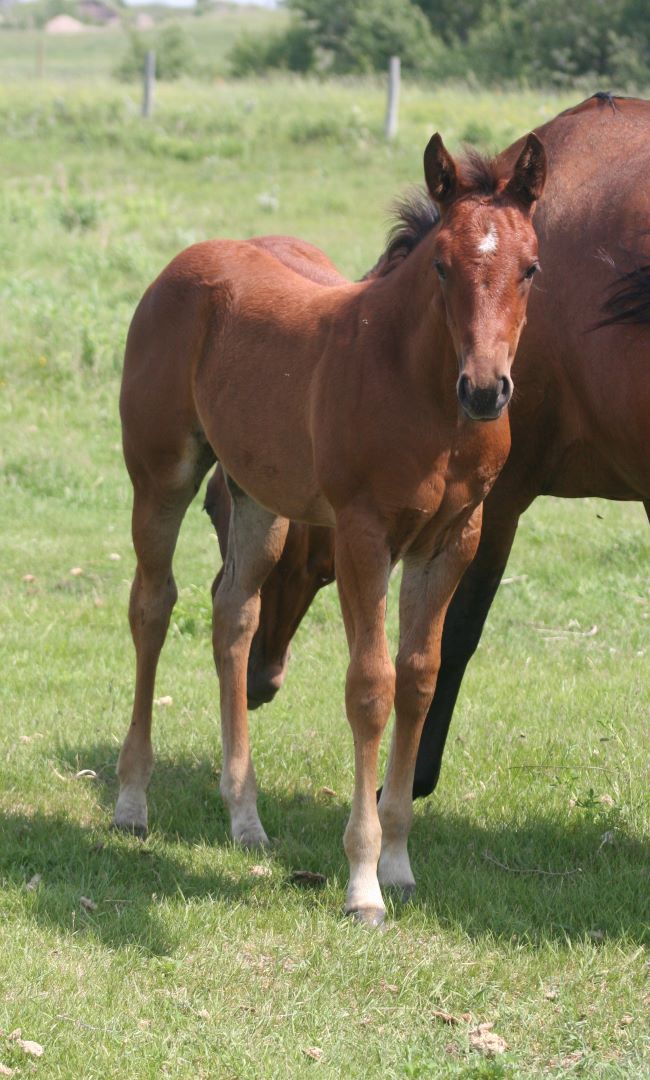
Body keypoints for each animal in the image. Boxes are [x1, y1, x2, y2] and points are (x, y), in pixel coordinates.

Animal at [115, 131, 547, 924]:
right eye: (441, 265)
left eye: (530, 268)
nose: (485, 390)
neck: (421, 391)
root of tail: (183, 263)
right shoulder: (363, 533)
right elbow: (371, 685)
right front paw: (364, 882)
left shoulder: (452, 539)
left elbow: (419, 679)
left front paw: (401, 863)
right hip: (162, 474)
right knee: (153, 605)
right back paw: (132, 801)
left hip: (257, 497)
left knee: (233, 613)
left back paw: (245, 816)